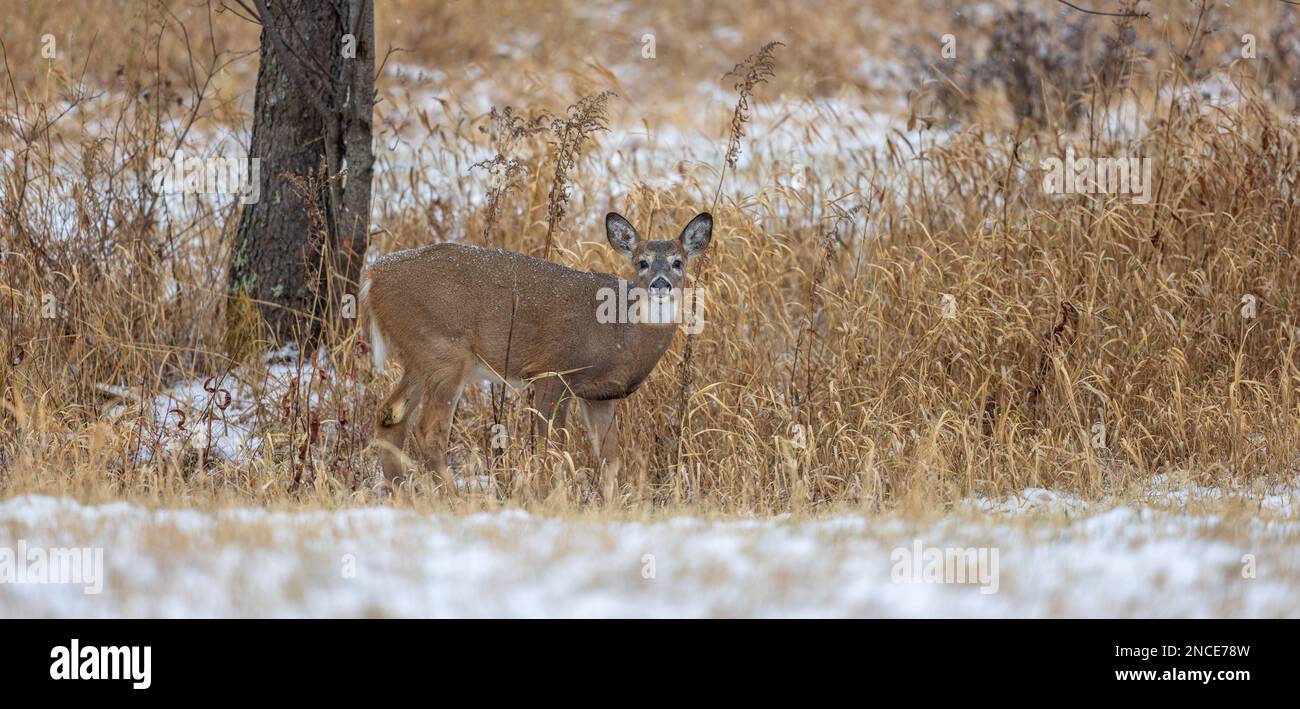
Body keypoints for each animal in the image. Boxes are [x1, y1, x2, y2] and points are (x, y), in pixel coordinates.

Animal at [359, 211, 713, 500]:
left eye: (678, 262)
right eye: (642, 261)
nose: (660, 284)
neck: (620, 333)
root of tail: (373, 276)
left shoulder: (599, 394)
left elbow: (609, 456)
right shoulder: (552, 371)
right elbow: (550, 446)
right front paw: (550, 496)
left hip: (419, 357)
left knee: (389, 417)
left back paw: (403, 495)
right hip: (443, 350)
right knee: (428, 429)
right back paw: (452, 497)